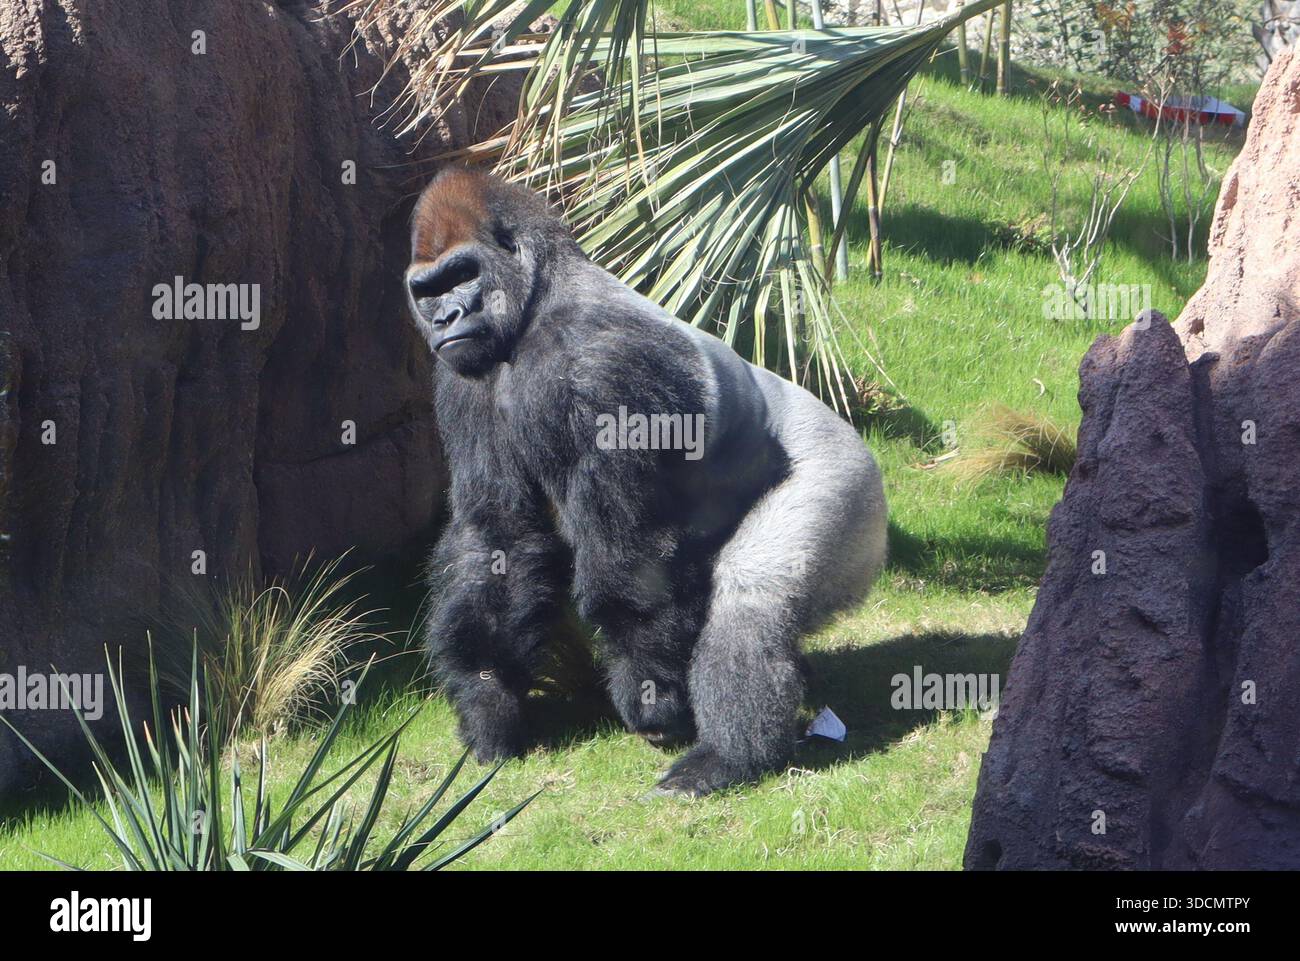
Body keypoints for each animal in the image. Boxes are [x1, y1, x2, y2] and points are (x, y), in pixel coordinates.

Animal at [406, 167, 887, 796]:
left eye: (462, 274)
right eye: (427, 290)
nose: (444, 319)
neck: (536, 304)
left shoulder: (602, 364)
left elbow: (630, 554)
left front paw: (651, 700)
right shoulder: (464, 376)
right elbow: (499, 533)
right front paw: (489, 701)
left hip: (849, 479)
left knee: (751, 592)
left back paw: (729, 756)